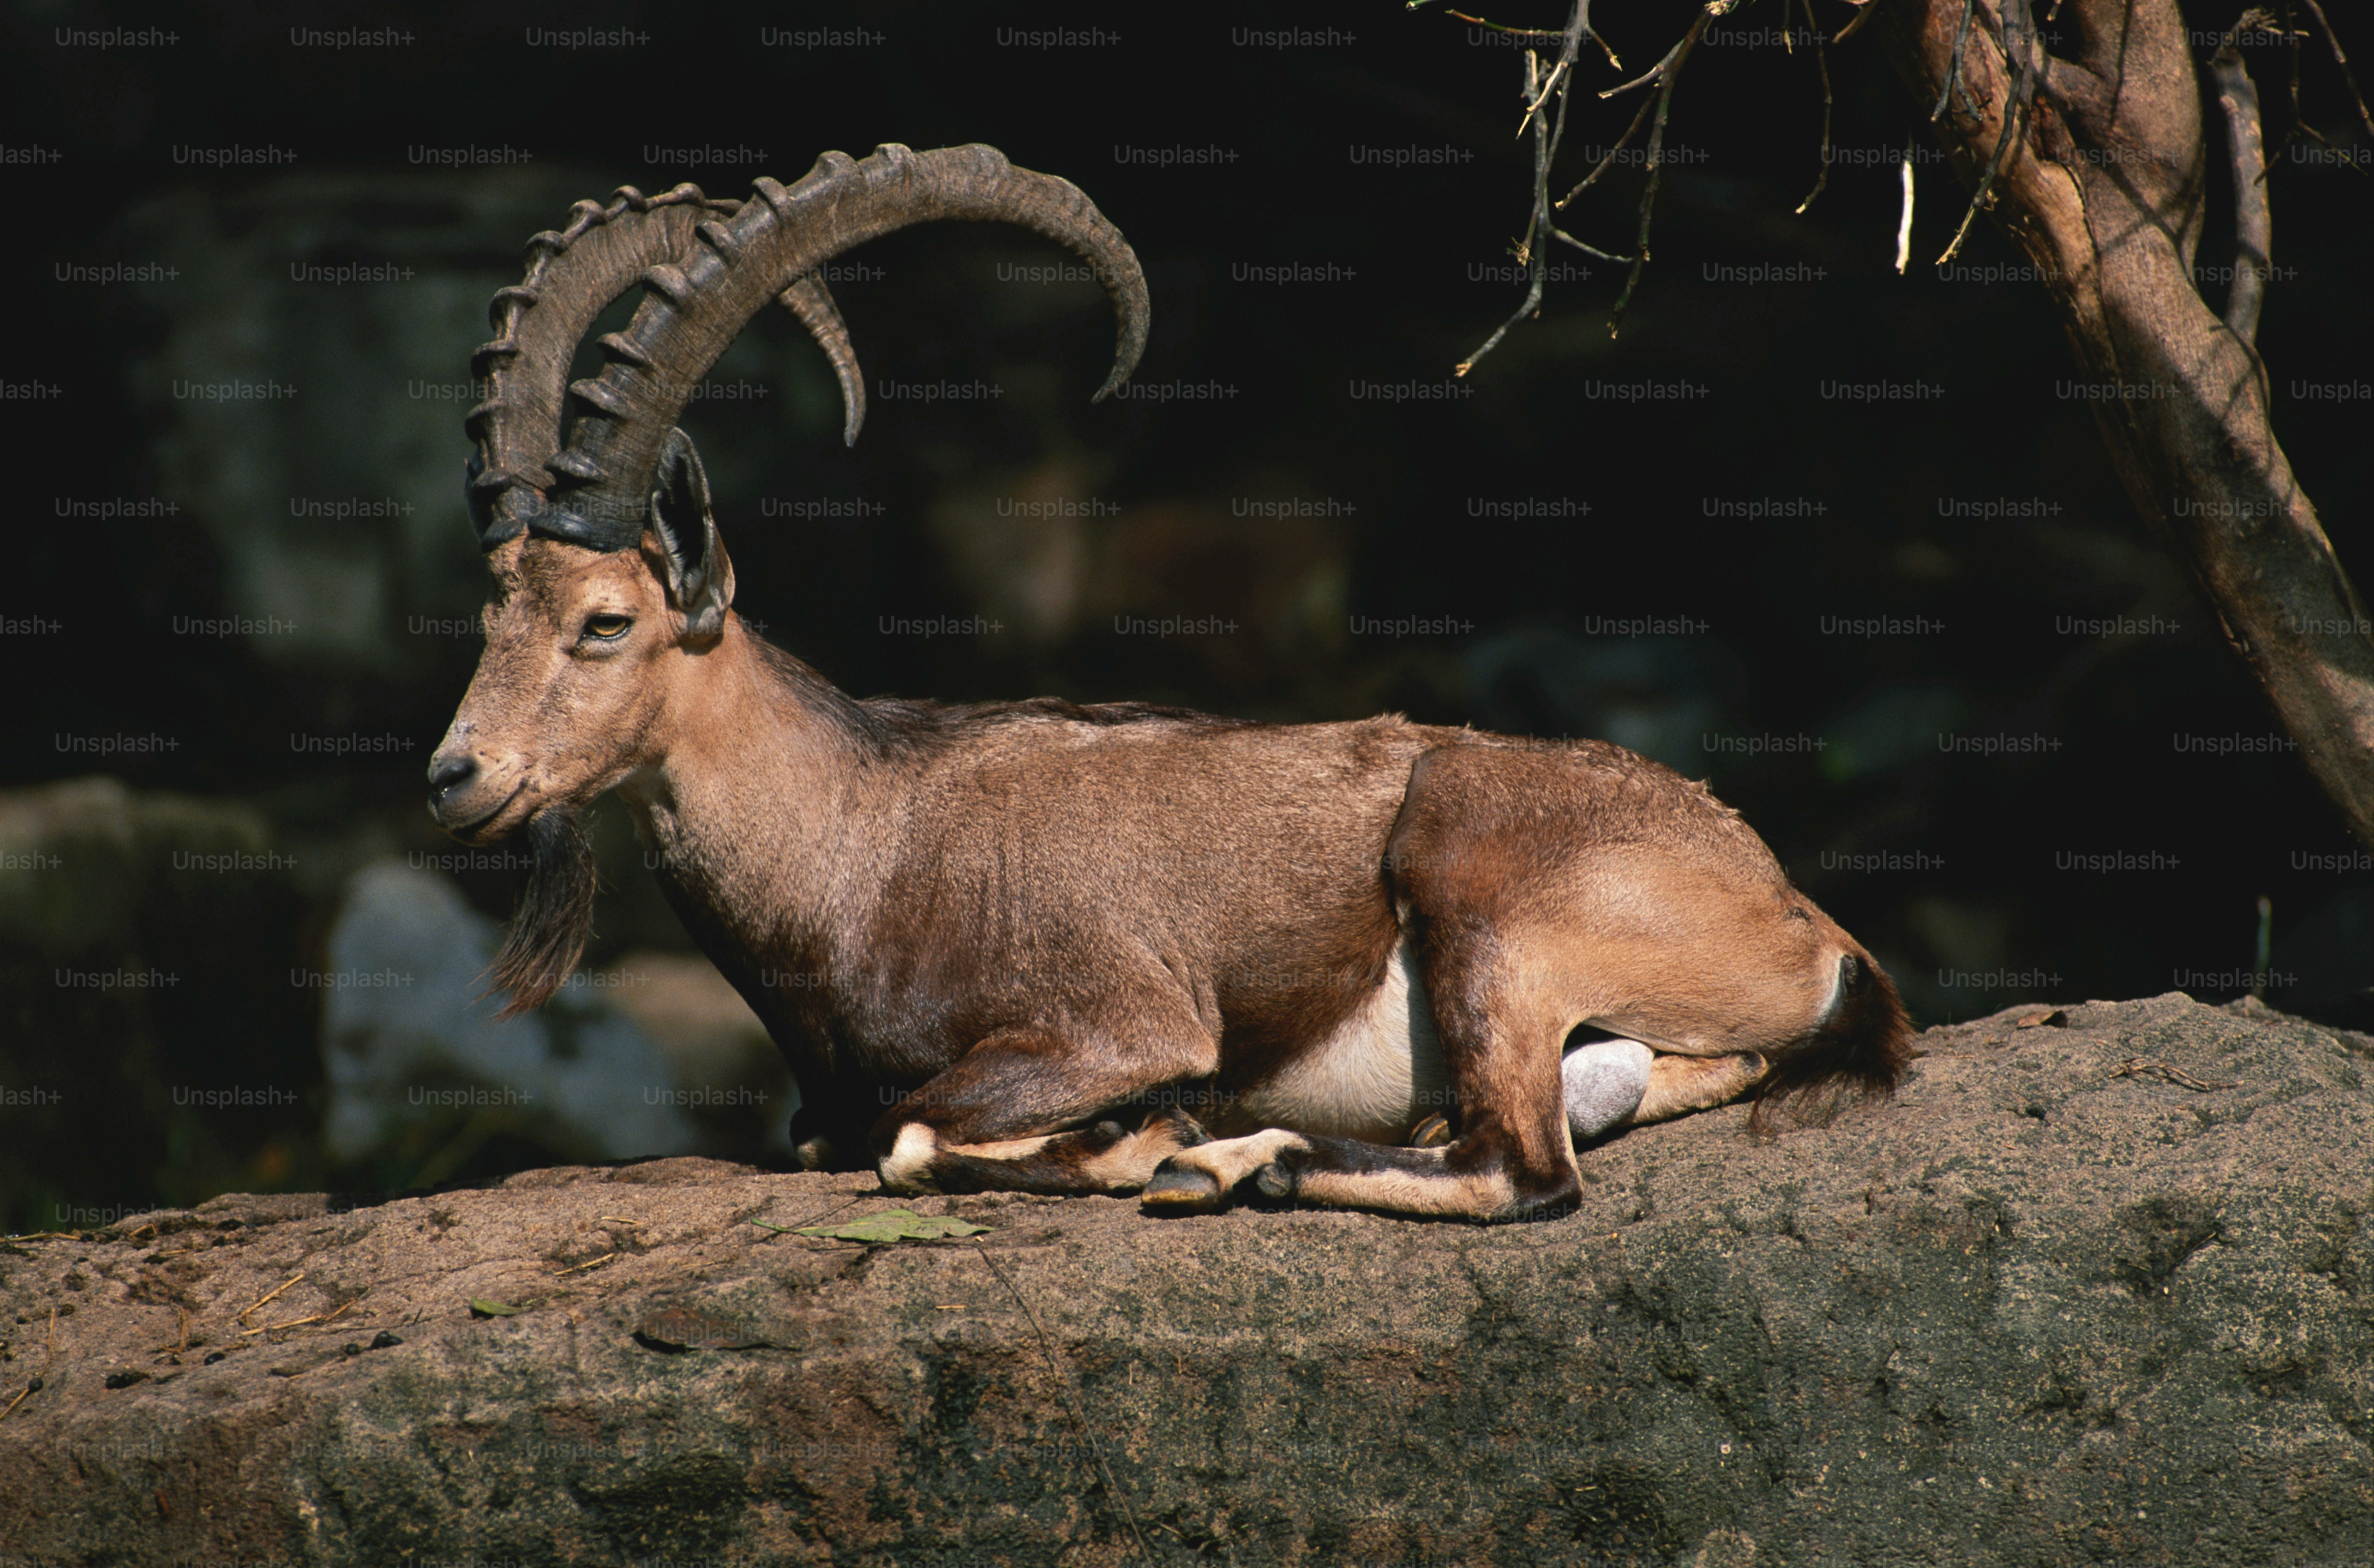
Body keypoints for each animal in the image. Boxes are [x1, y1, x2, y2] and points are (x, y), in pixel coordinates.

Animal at [429, 144, 1912, 1221]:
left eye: (606, 620)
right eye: (490, 611)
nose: (457, 777)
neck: (862, 841)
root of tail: (1797, 917)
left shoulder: (1116, 1022)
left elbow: (909, 1135)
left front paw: (1153, 1136)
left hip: (1483, 891)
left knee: (1527, 1174)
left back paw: (1240, 1159)